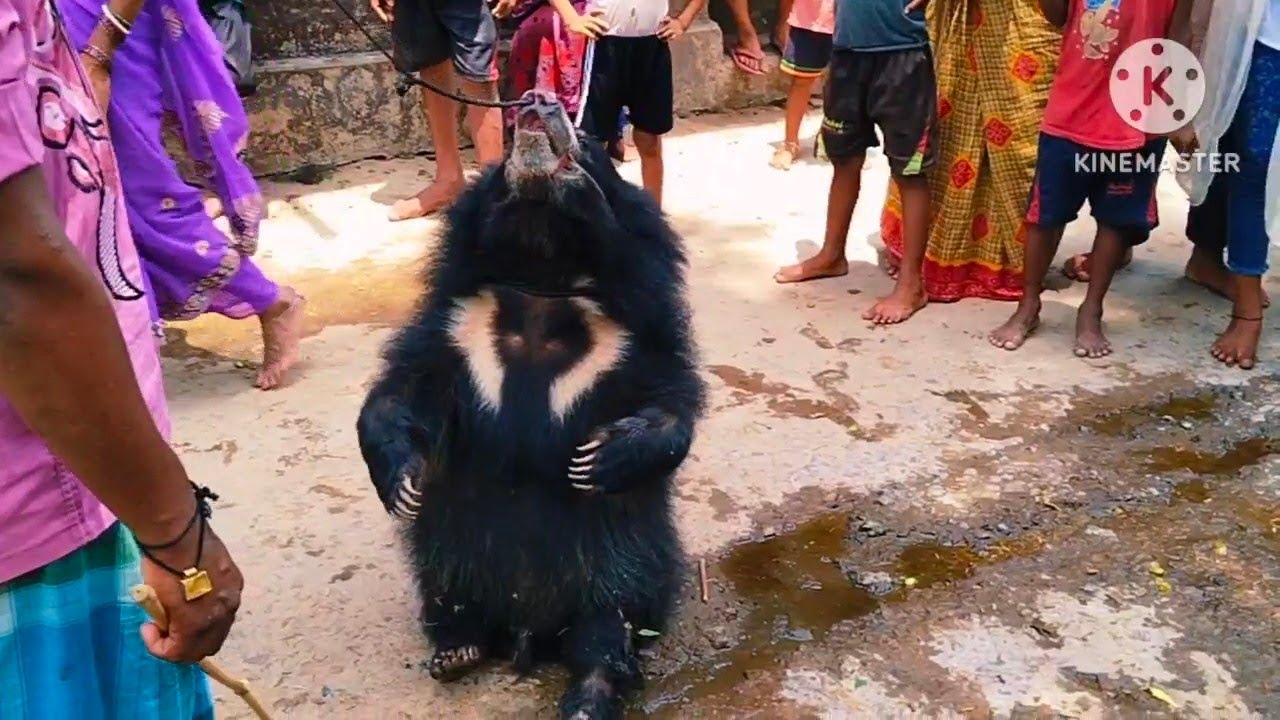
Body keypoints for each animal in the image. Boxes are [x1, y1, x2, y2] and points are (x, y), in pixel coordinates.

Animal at [356, 89, 705, 719]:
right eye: (500, 163)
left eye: (585, 141)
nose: (538, 100)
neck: (544, 272)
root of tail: (527, 633)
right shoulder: (455, 328)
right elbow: (401, 392)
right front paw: (402, 485)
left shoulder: (635, 338)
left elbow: (670, 405)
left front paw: (598, 461)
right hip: (453, 552)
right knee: (448, 588)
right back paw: (457, 650)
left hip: (620, 559)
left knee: (610, 619)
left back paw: (589, 694)